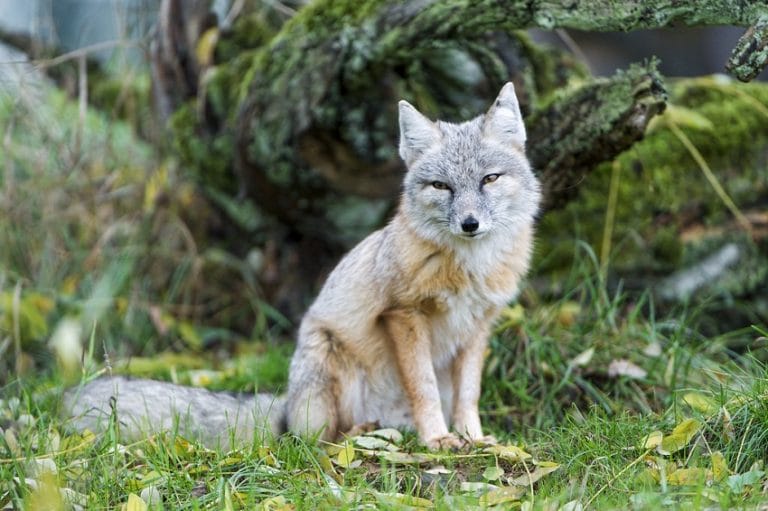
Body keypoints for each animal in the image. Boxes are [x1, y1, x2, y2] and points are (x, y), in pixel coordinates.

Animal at [64, 82, 541, 450]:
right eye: (442, 186)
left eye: (489, 179)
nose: (469, 223)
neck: (469, 270)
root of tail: (287, 407)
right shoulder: (403, 314)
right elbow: (422, 387)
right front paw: (438, 439)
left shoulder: (478, 326)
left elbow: (468, 394)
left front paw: (473, 437)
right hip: (330, 372)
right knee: (318, 440)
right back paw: (366, 433)